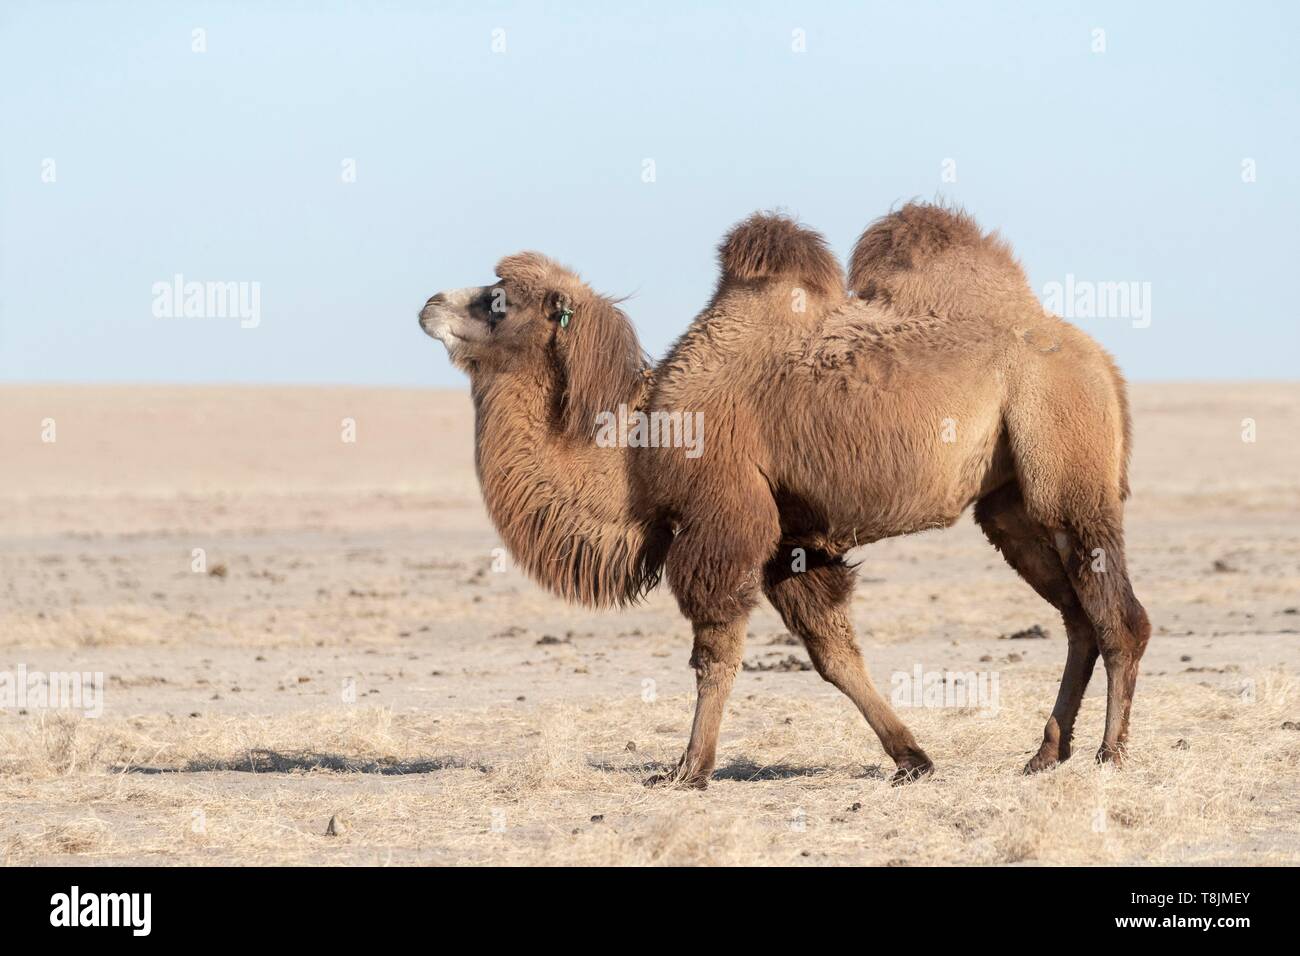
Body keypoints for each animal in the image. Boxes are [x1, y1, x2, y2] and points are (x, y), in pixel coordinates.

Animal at [418, 203, 1151, 788]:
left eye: (498, 299)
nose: (428, 304)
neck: (638, 454)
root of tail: (1098, 358)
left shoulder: (723, 520)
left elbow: (715, 652)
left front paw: (688, 769)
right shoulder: (789, 541)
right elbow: (833, 653)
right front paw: (912, 758)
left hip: (1064, 457)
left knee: (1118, 615)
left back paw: (1110, 755)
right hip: (1009, 504)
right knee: (1077, 616)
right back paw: (1045, 753)